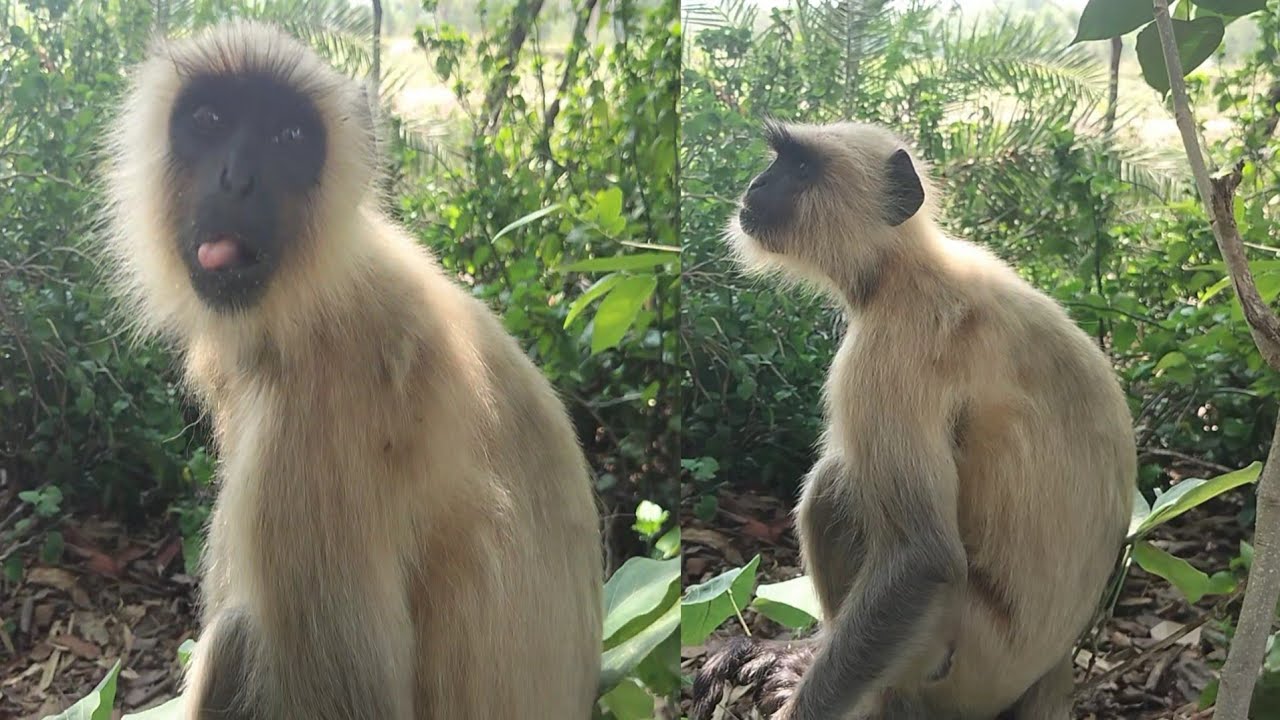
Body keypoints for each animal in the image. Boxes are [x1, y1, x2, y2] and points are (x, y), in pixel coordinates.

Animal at [98, 21, 603, 719]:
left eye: (288, 137)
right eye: (208, 119)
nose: (236, 180)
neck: (315, 293)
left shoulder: (327, 408)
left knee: (237, 639)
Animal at [691, 120, 1136, 720]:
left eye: (801, 168)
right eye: (778, 160)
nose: (758, 184)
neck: (903, 269)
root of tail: (1052, 668)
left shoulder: (890, 350)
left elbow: (921, 558)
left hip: (962, 663)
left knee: (837, 484)